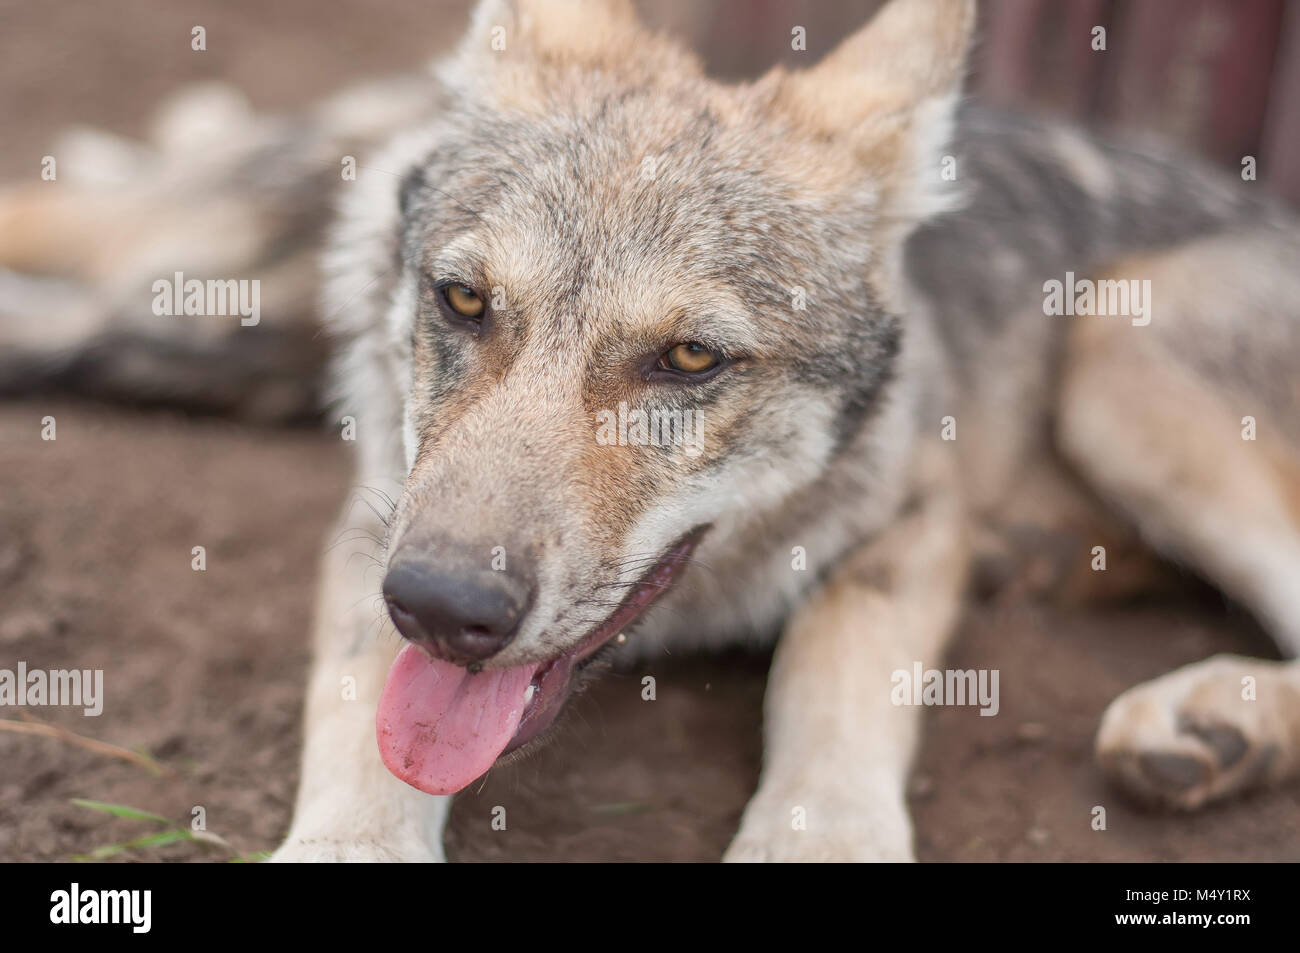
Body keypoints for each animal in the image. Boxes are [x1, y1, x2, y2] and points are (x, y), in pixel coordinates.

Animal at [5, 0, 1300, 861]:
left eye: (686, 359)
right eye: (463, 301)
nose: (442, 606)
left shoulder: (913, 518)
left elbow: (832, 674)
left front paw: (817, 833)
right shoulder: (377, 520)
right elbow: (360, 737)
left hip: (1114, 352)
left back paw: (1210, 716)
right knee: (76, 229)